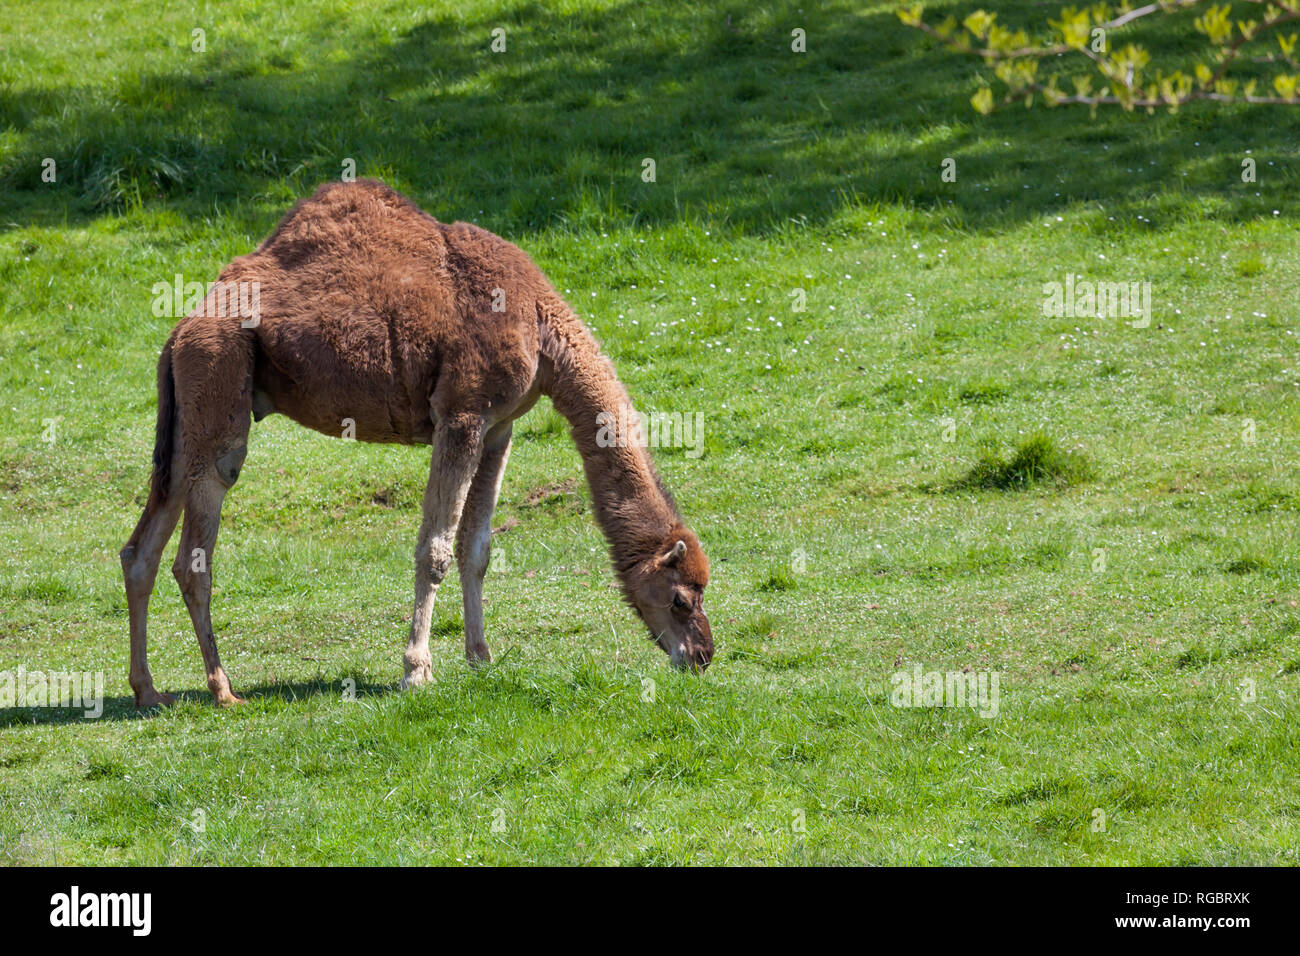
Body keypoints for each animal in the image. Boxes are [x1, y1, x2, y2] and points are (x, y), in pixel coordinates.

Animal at [119, 179, 714, 707]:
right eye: (681, 598)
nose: (702, 656)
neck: (542, 332)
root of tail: (179, 329)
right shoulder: (461, 413)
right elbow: (435, 550)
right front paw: (416, 671)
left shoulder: (498, 428)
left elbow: (477, 548)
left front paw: (481, 658)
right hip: (219, 380)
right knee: (194, 549)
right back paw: (223, 690)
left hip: (188, 416)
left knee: (141, 547)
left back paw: (149, 691)